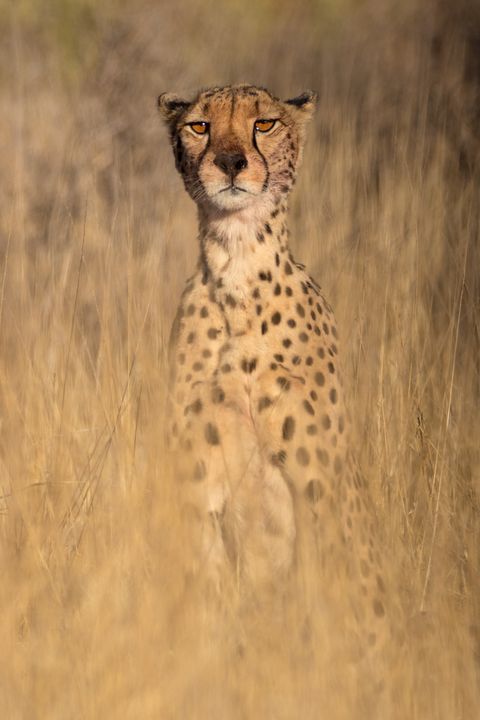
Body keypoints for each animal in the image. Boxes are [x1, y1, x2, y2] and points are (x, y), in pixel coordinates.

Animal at [157, 84, 390, 668]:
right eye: (199, 126)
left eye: (264, 124)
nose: (230, 161)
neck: (238, 264)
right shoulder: (198, 487)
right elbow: (209, 597)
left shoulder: (319, 488)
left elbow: (323, 598)